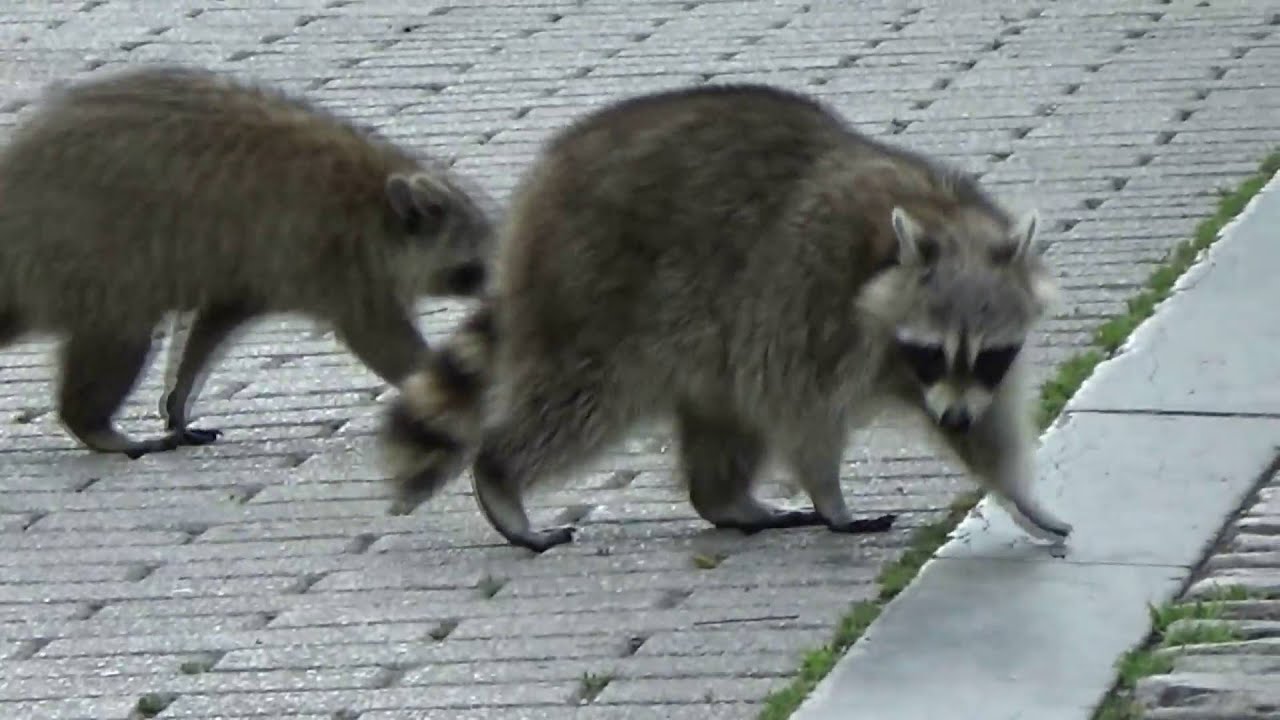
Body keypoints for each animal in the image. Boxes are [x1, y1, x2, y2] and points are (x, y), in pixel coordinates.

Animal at [0, 63, 495, 459]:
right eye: (480, 264)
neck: (380, 204)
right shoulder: (331, 257)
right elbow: (381, 340)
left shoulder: (255, 267)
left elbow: (213, 323)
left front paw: (179, 394)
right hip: (91, 251)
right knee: (119, 338)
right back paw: (92, 423)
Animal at [379, 83, 1072, 553]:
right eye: (933, 350)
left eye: (987, 354)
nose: (951, 417)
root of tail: (544, 176)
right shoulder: (811, 297)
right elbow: (803, 411)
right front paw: (831, 497)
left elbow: (987, 427)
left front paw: (1017, 492)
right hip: (596, 288)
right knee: (579, 399)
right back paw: (501, 474)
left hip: (701, 328)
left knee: (724, 414)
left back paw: (725, 500)